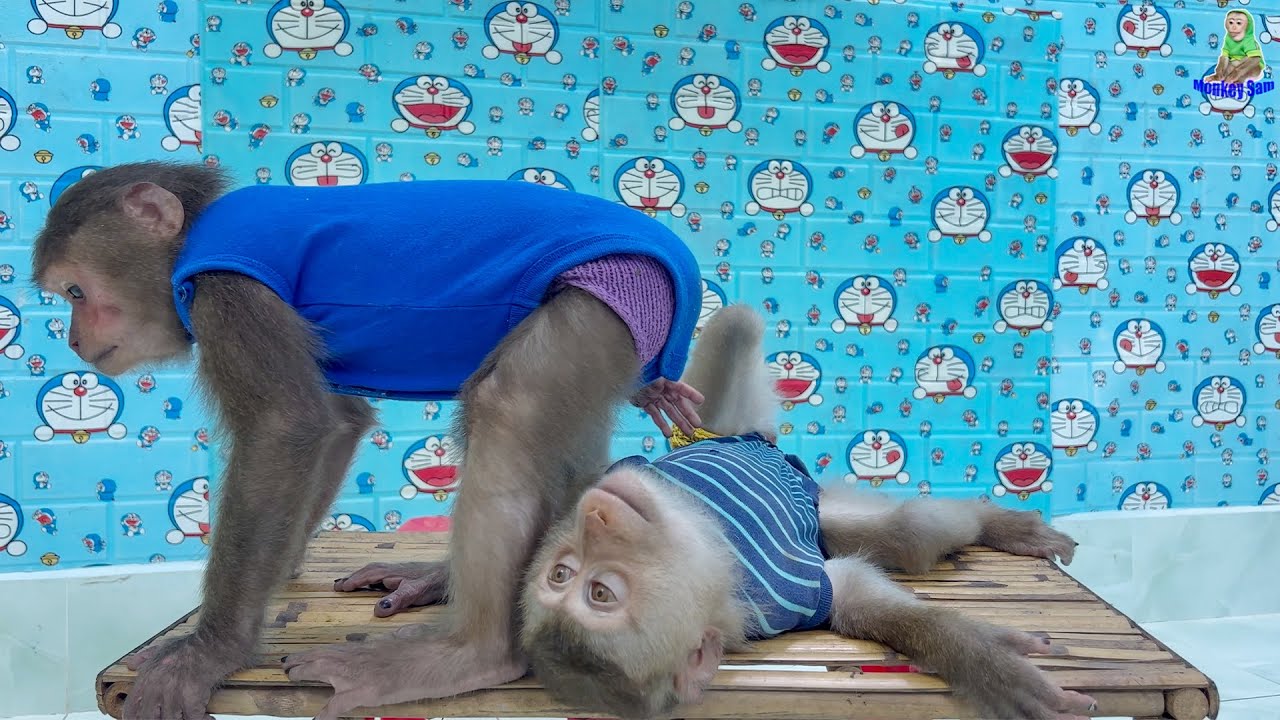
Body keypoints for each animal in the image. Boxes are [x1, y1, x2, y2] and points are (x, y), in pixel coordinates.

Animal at [30, 161, 708, 720]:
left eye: (77, 293)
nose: (72, 340)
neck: (190, 238)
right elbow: (337, 421)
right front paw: (269, 579)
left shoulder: (227, 287)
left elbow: (287, 426)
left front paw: (211, 649)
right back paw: (442, 580)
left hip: (619, 289)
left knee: (512, 402)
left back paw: (475, 652)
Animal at [507, 304, 1098, 720]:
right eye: (593, 590)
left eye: (572, 578)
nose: (596, 516)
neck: (715, 555)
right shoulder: (788, 598)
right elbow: (857, 596)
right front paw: (979, 659)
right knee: (908, 534)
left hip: (724, 425)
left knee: (737, 323)